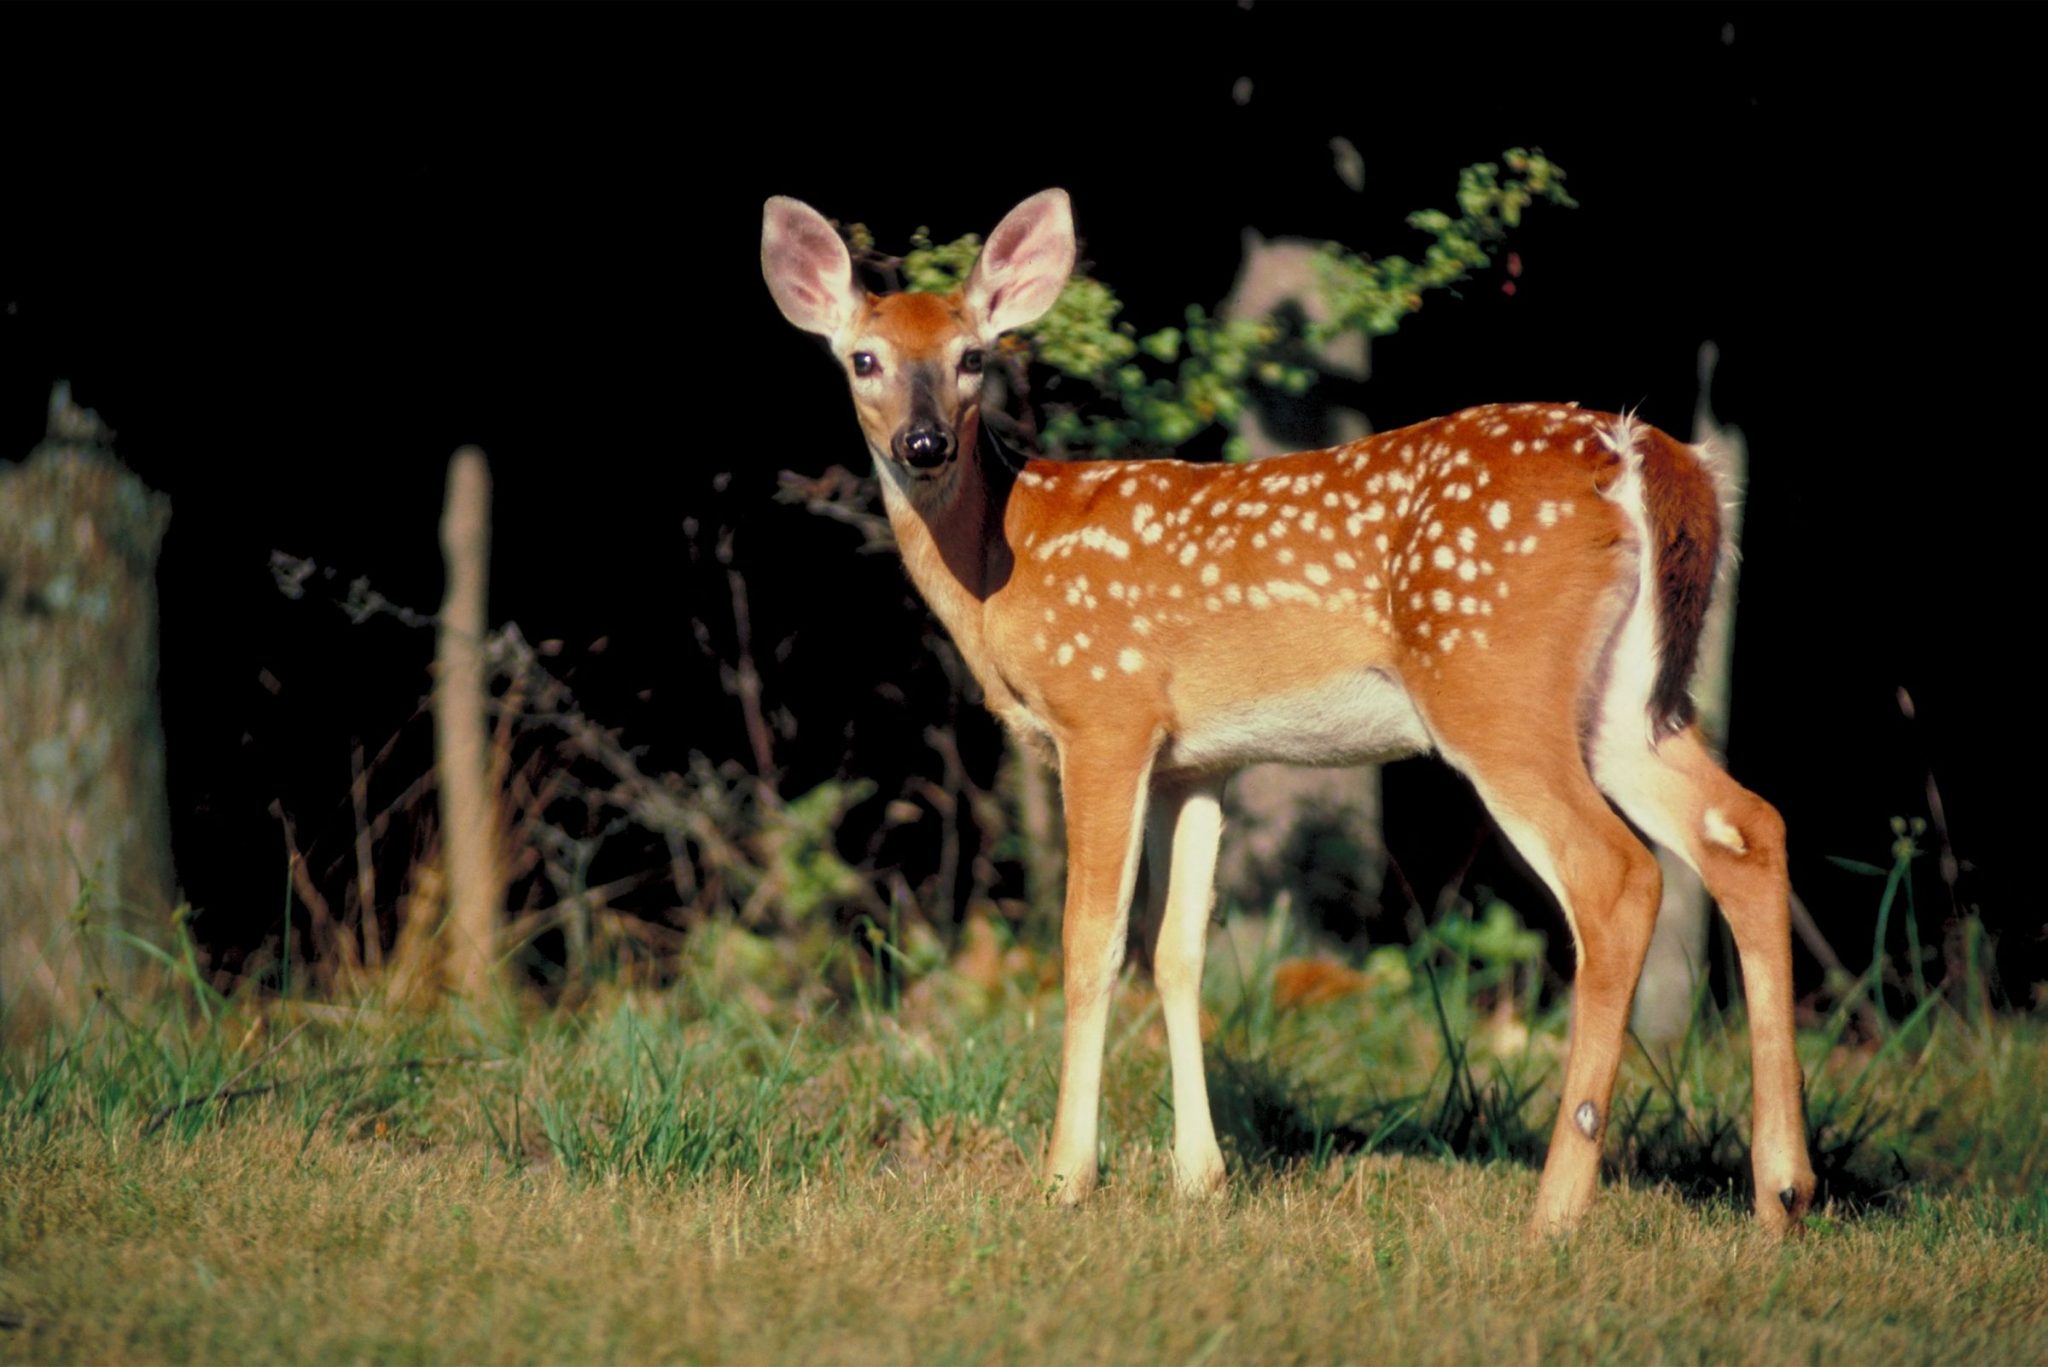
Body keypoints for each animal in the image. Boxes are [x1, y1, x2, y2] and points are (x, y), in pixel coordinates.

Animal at [760, 188, 1816, 1236]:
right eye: (864, 358)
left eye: (973, 356)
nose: (923, 444)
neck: (1001, 564)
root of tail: (1645, 450)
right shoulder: (1197, 760)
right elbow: (1180, 951)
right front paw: (1200, 1175)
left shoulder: (1105, 710)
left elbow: (1089, 942)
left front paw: (1064, 1176)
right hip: (1627, 699)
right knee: (1745, 826)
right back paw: (1782, 1191)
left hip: (1491, 680)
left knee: (1618, 874)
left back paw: (1556, 1206)